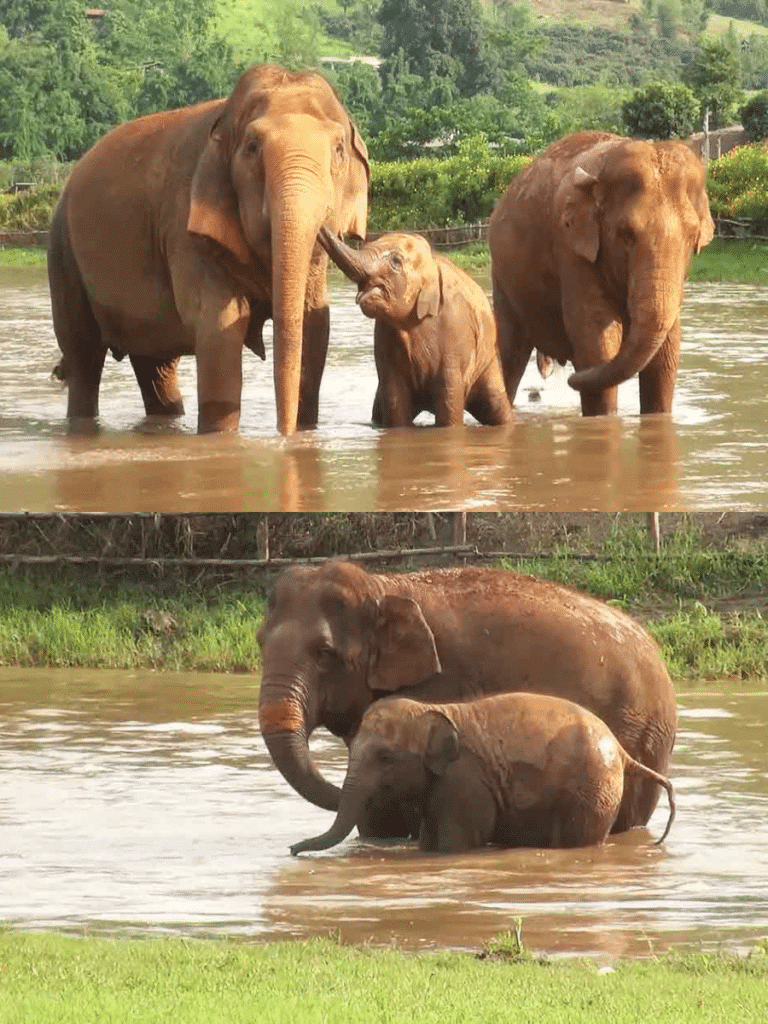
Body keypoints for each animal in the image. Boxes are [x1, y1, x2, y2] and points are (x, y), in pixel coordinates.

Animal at [47, 64, 370, 436]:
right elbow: (220, 325)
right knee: (83, 356)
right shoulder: (187, 227)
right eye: (252, 147)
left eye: (339, 150)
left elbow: (314, 323)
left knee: (154, 365)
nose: (284, 436)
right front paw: (222, 437)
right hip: (63, 252)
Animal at [290, 693, 676, 855]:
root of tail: (622, 752)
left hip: (591, 791)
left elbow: (454, 845)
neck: (434, 709)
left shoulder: (465, 781)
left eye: (385, 758)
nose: (292, 849)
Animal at [317, 226, 513, 427]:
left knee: (497, 406)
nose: (322, 226)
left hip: (487, 361)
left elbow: (449, 395)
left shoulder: (456, 330)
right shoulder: (384, 333)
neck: (431, 262)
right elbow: (394, 397)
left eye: (395, 261)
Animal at [488, 131, 714, 416]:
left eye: (692, 237)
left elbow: (665, 357)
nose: (572, 380)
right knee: (510, 353)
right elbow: (596, 342)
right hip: (502, 279)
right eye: (626, 235)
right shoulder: (570, 248)